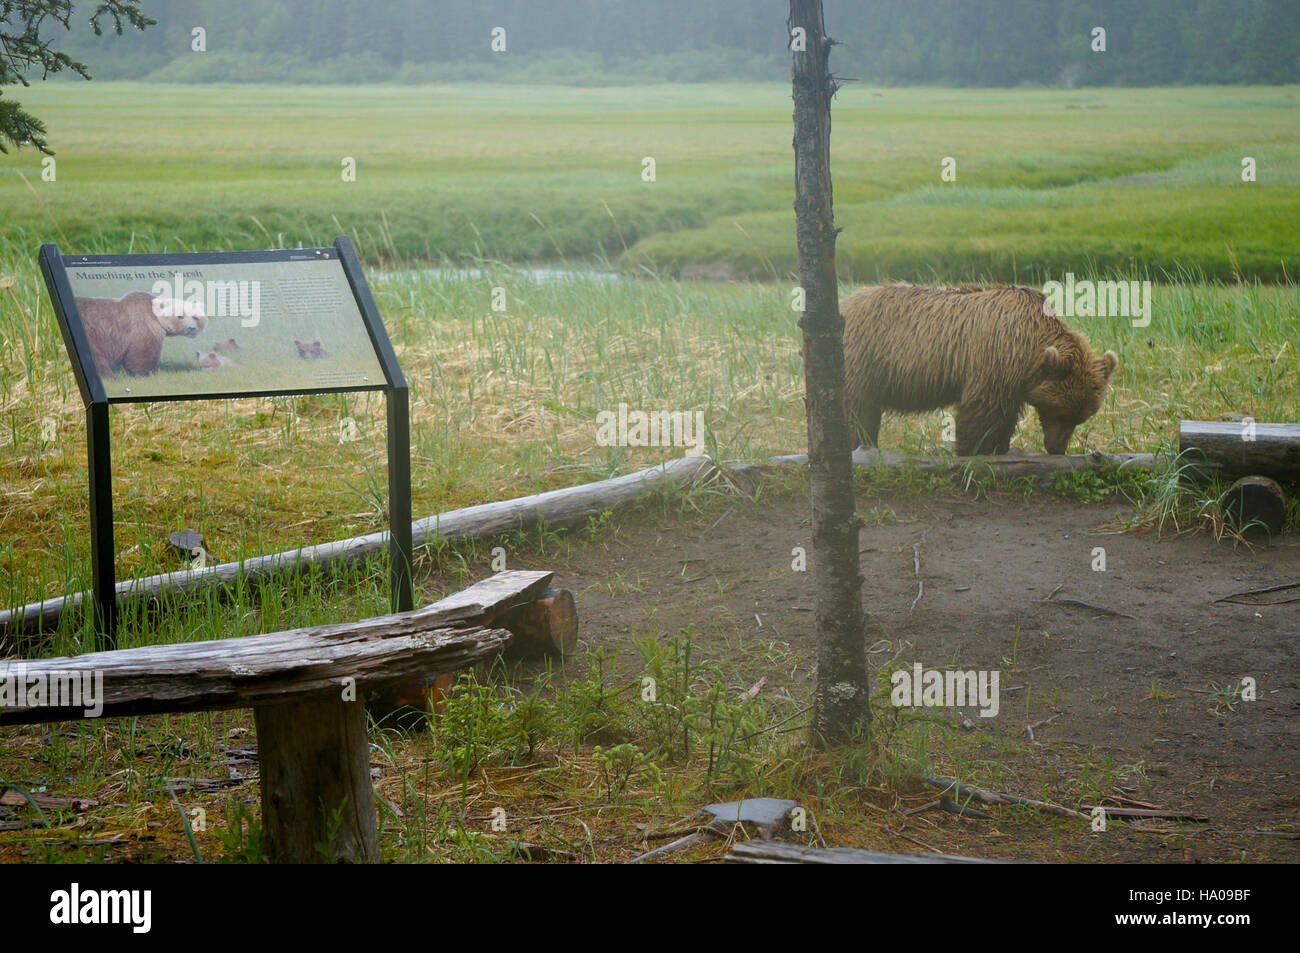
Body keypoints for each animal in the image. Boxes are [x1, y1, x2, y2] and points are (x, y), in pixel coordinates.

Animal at [74, 292, 207, 377]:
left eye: (195, 317)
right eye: (180, 316)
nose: (191, 328)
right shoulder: (143, 328)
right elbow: (142, 355)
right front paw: (145, 373)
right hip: (92, 335)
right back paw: (110, 377)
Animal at [841, 283, 1118, 456]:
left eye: (1082, 417)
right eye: (1059, 411)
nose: (1057, 448)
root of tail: (842, 303)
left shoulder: (1015, 378)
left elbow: (1005, 415)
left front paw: (999, 445)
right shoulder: (994, 359)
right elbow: (982, 411)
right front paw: (976, 449)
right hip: (862, 359)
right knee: (857, 411)